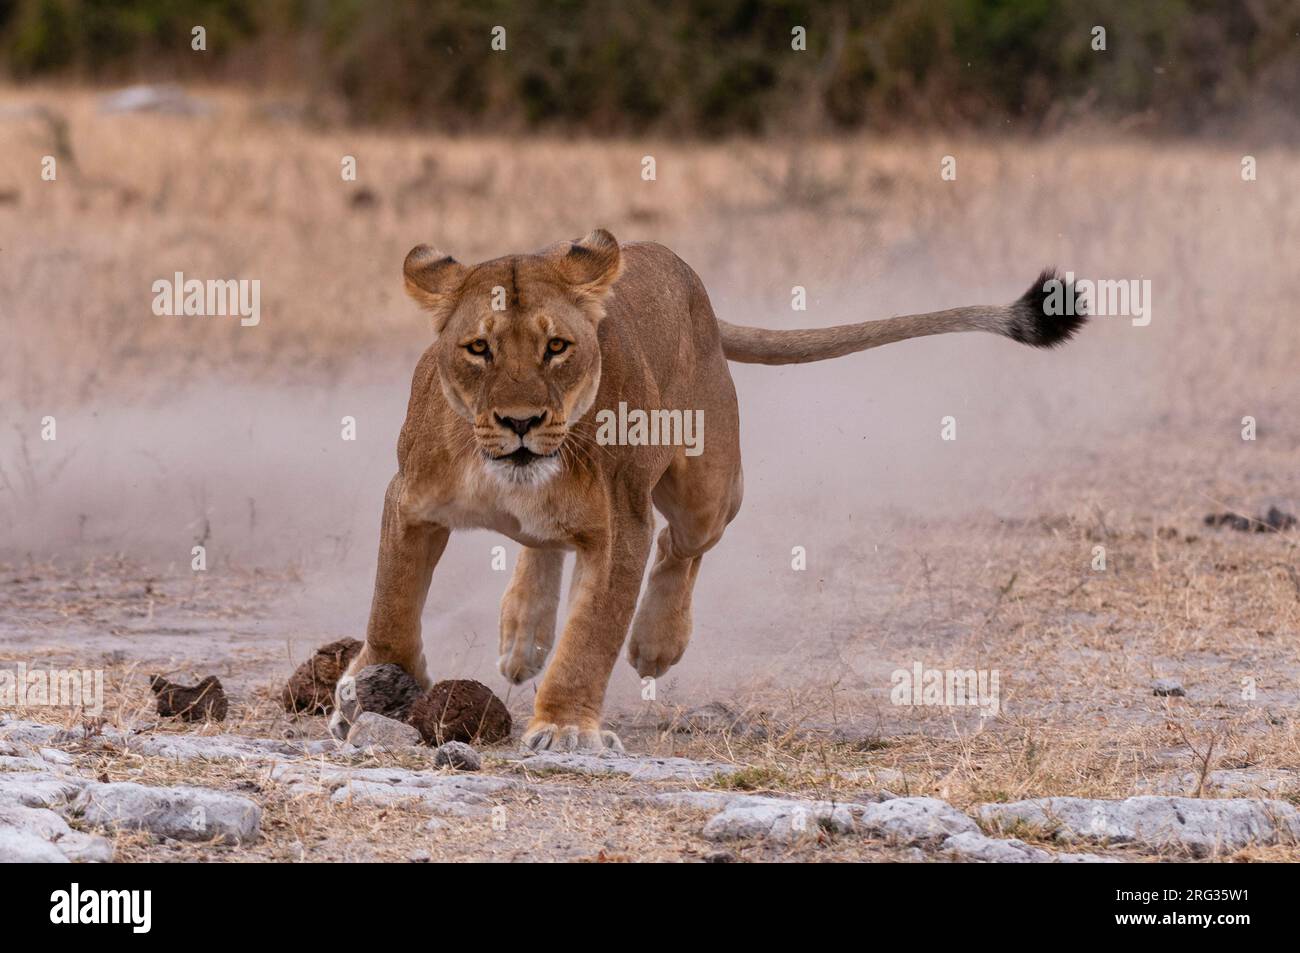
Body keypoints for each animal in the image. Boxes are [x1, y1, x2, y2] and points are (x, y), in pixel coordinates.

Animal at [330, 229, 1085, 750]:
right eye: (479, 348)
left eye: (556, 347)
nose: (521, 422)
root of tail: (689, 280)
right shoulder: (412, 502)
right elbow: (390, 604)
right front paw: (372, 688)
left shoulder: (621, 526)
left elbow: (593, 634)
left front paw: (568, 725)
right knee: (545, 544)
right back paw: (523, 636)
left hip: (707, 485)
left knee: (682, 546)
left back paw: (655, 643)